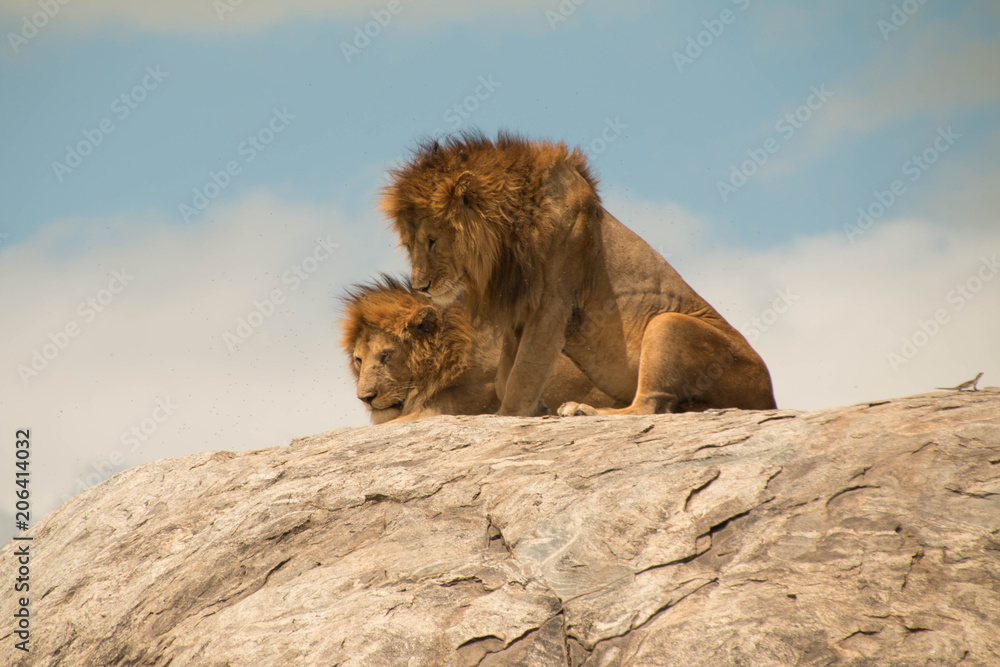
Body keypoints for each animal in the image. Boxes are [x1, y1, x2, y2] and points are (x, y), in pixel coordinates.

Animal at [380, 131, 777, 417]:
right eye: (410, 244)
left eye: (432, 241)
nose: (420, 287)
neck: (510, 236)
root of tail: (772, 398)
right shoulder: (519, 315)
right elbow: (506, 375)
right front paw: (535, 409)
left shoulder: (553, 305)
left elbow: (523, 374)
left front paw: (508, 416)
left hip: (668, 323)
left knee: (649, 406)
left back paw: (583, 410)